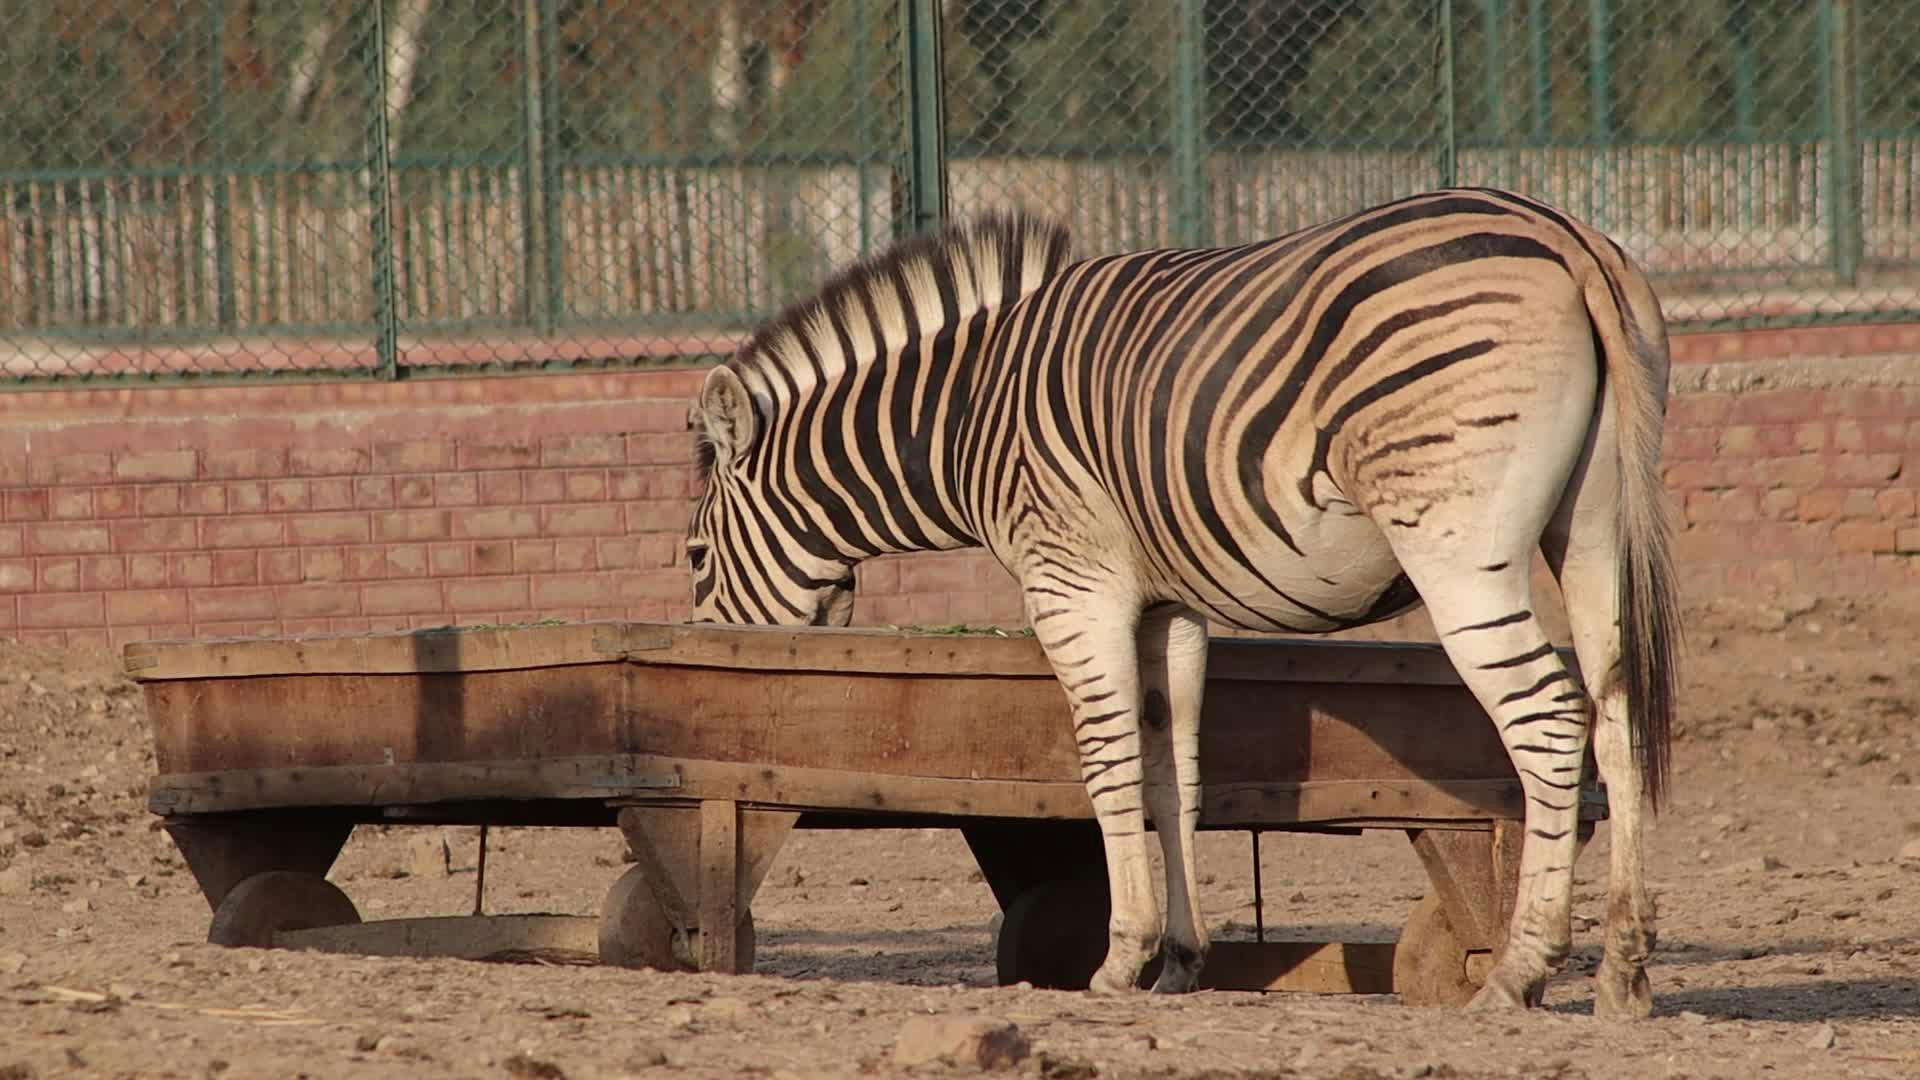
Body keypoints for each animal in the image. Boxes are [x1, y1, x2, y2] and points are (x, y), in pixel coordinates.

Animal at [684, 188, 1678, 1017]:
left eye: (694, 556)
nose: (702, 654)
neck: (969, 412)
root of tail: (1564, 235)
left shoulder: (1072, 585)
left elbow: (1109, 762)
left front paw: (1118, 960)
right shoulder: (1171, 609)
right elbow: (1176, 774)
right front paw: (1182, 961)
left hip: (1457, 545)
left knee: (1549, 719)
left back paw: (1519, 972)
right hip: (1591, 526)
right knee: (1618, 711)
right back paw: (1624, 973)